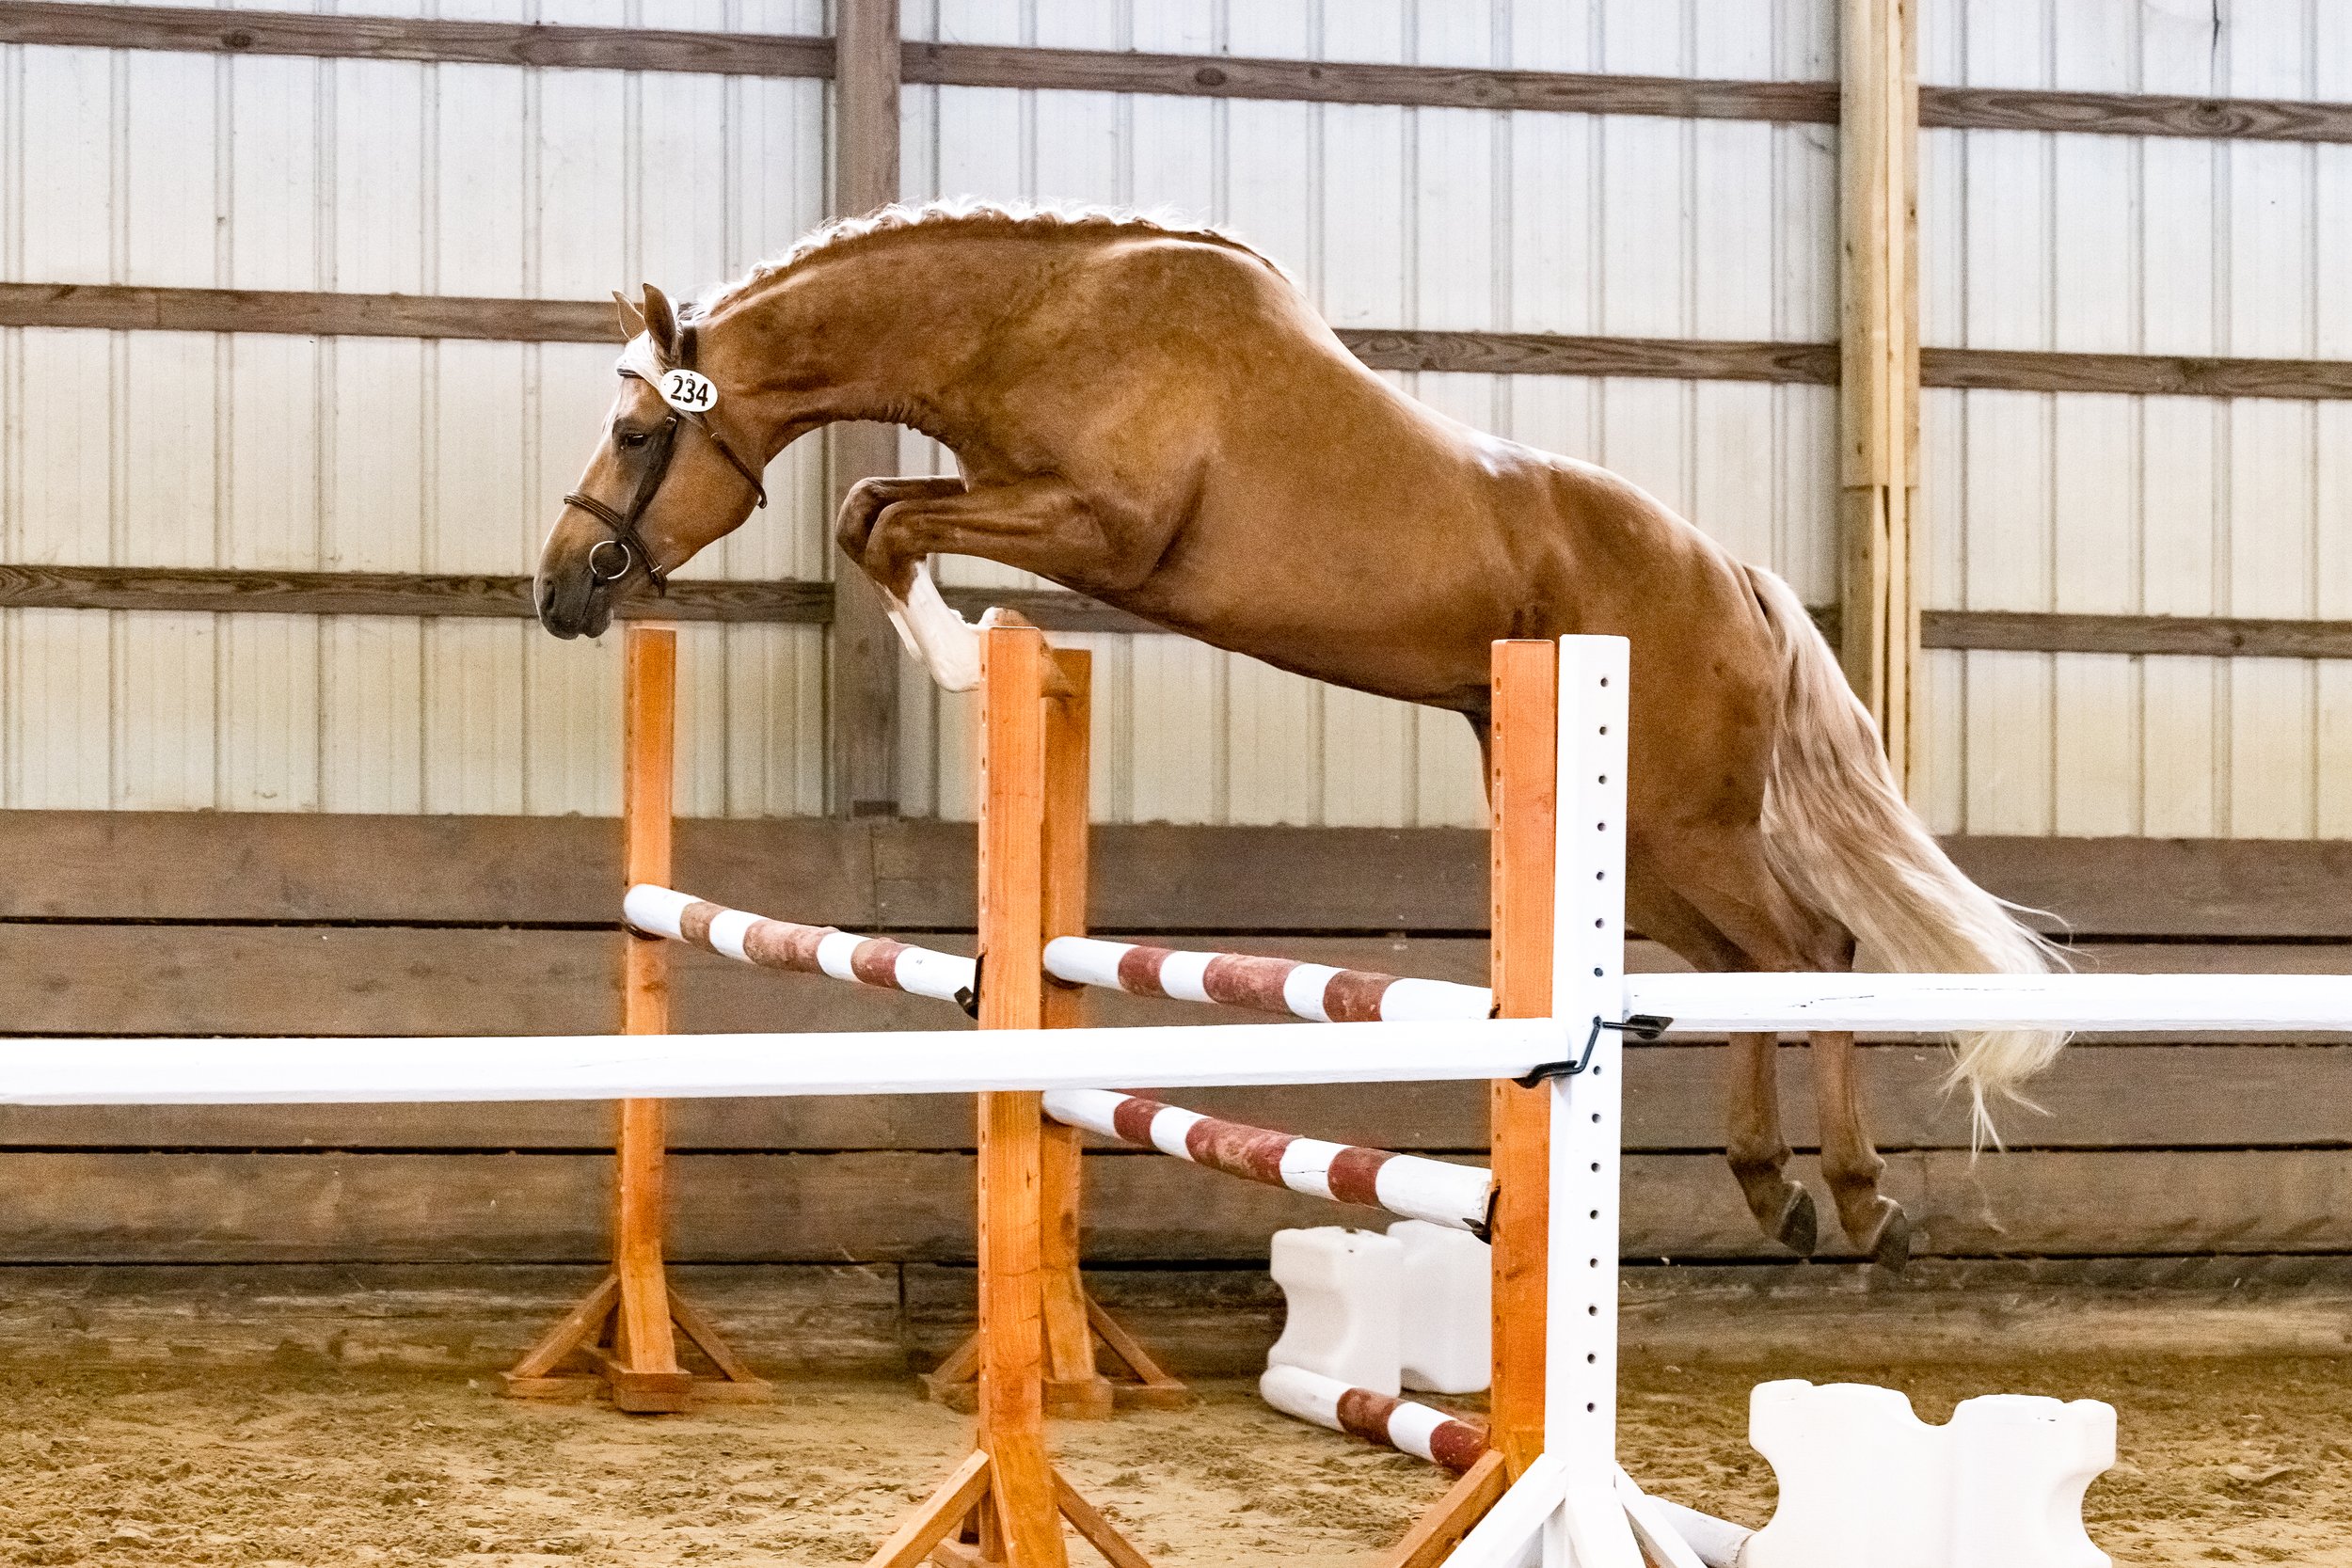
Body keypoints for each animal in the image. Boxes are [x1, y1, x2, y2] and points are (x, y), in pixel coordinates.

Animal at [535, 201, 2064, 1270]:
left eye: (635, 433)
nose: (557, 590)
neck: (1036, 320)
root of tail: (1734, 577)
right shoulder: (1020, 498)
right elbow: (875, 512)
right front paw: (966, 648)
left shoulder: (1105, 530)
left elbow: (884, 518)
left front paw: (966, 655)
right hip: (1637, 837)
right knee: (1743, 964)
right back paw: (1772, 1189)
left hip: (1687, 818)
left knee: (1816, 946)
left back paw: (1857, 1197)